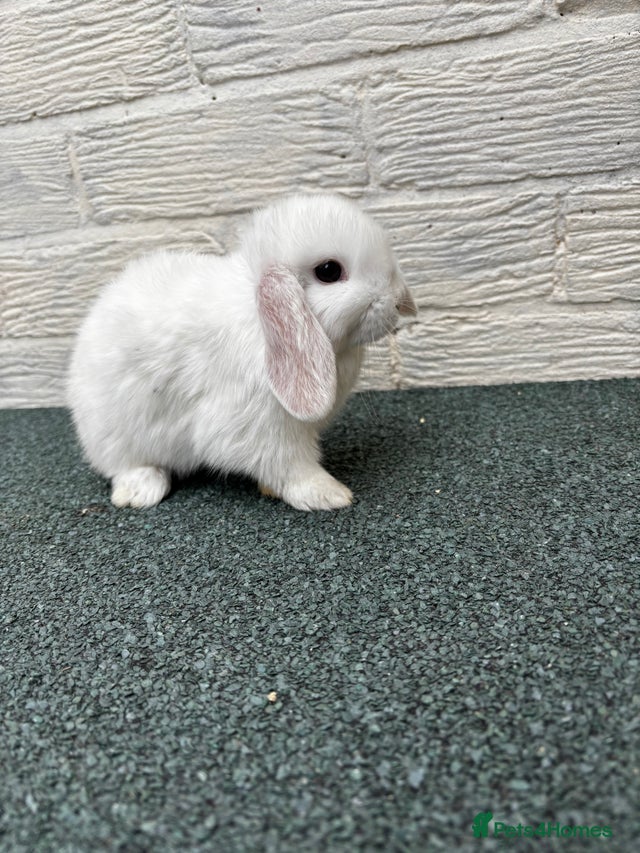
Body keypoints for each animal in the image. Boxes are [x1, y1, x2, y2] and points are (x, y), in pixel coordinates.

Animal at [67, 193, 417, 511]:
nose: (401, 301)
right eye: (329, 271)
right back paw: (141, 491)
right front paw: (329, 494)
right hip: (117, 438)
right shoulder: (258, 427)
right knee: (124, 466)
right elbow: (289, 466)